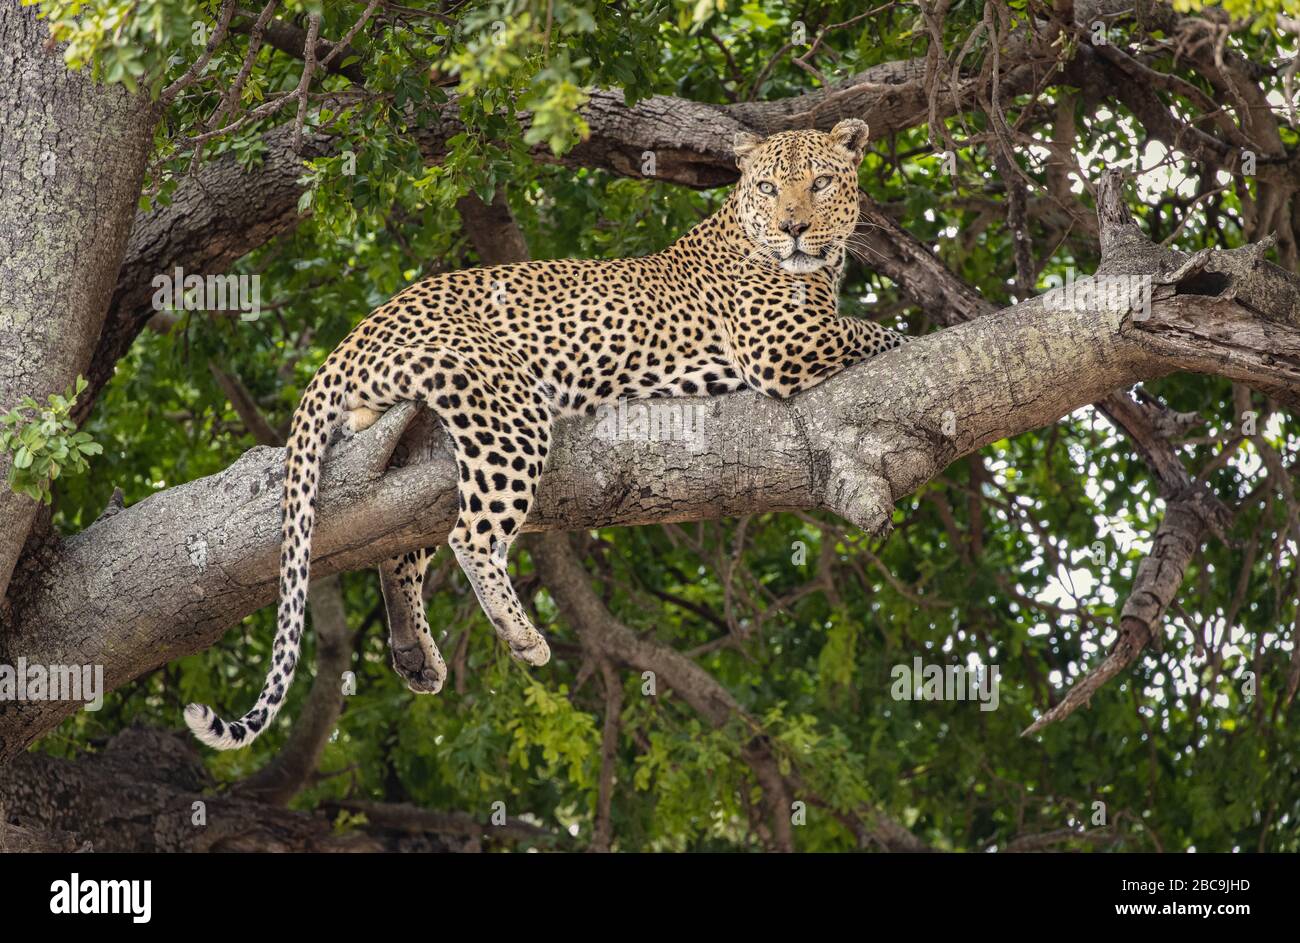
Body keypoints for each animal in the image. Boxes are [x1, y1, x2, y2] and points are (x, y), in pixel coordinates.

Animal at [185, 117, 906, 750]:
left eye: (820, 183)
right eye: (769, 188)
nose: (793, 228)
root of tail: (354, 334)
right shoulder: (784, 345)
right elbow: (879, 333)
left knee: (401, 547)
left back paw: (415, 652)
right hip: (507, 413)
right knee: (470, 535)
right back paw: (523, 636)